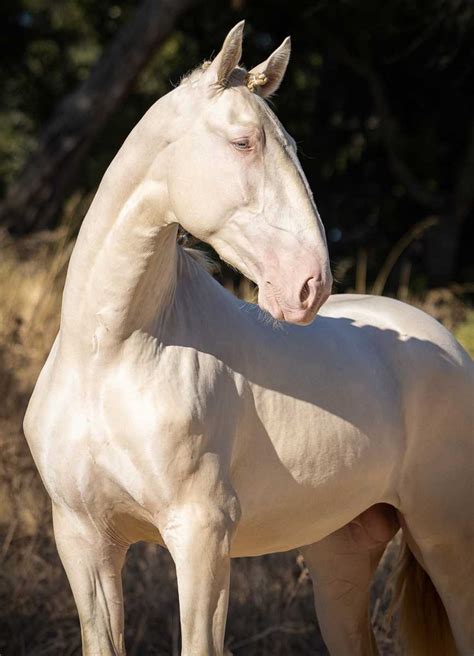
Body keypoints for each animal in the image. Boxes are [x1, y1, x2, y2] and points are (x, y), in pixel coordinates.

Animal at [24, 21, 473, 656]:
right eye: (243, 143)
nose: (310, 285)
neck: (109, 357)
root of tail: (450, 347)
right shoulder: (84, 540)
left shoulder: (202, 536)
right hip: (341, 555)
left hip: (448, 542)